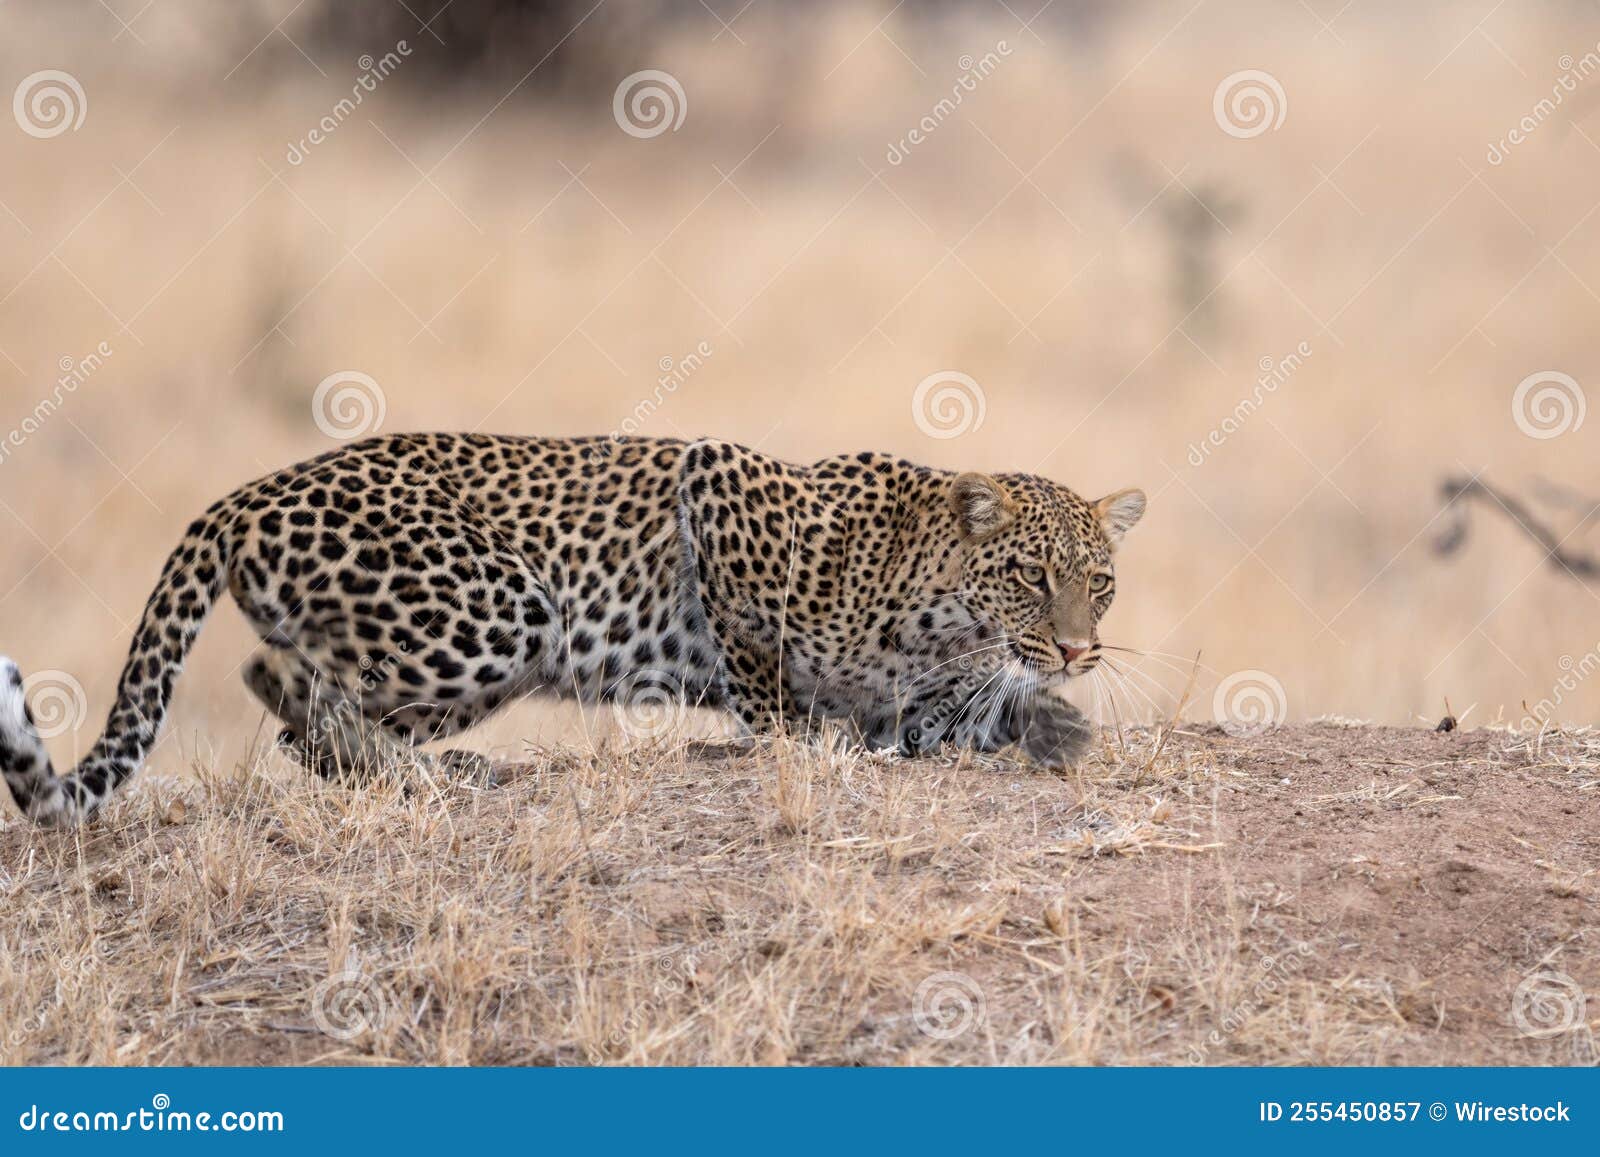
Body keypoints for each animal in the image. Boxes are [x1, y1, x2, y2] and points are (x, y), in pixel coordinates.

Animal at [0, 434, 1145, 827]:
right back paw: (426, 776)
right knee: (287, 686)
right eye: (1028, 576)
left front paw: (1051, 723)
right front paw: (792, 736)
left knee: (286, 703)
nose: (1079, 648)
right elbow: (763, 674)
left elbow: (949, 717)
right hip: (501, 607)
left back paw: (426, 768)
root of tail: (245, 492)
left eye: (1098, 583)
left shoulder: (927, 700)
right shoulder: (718, 487)